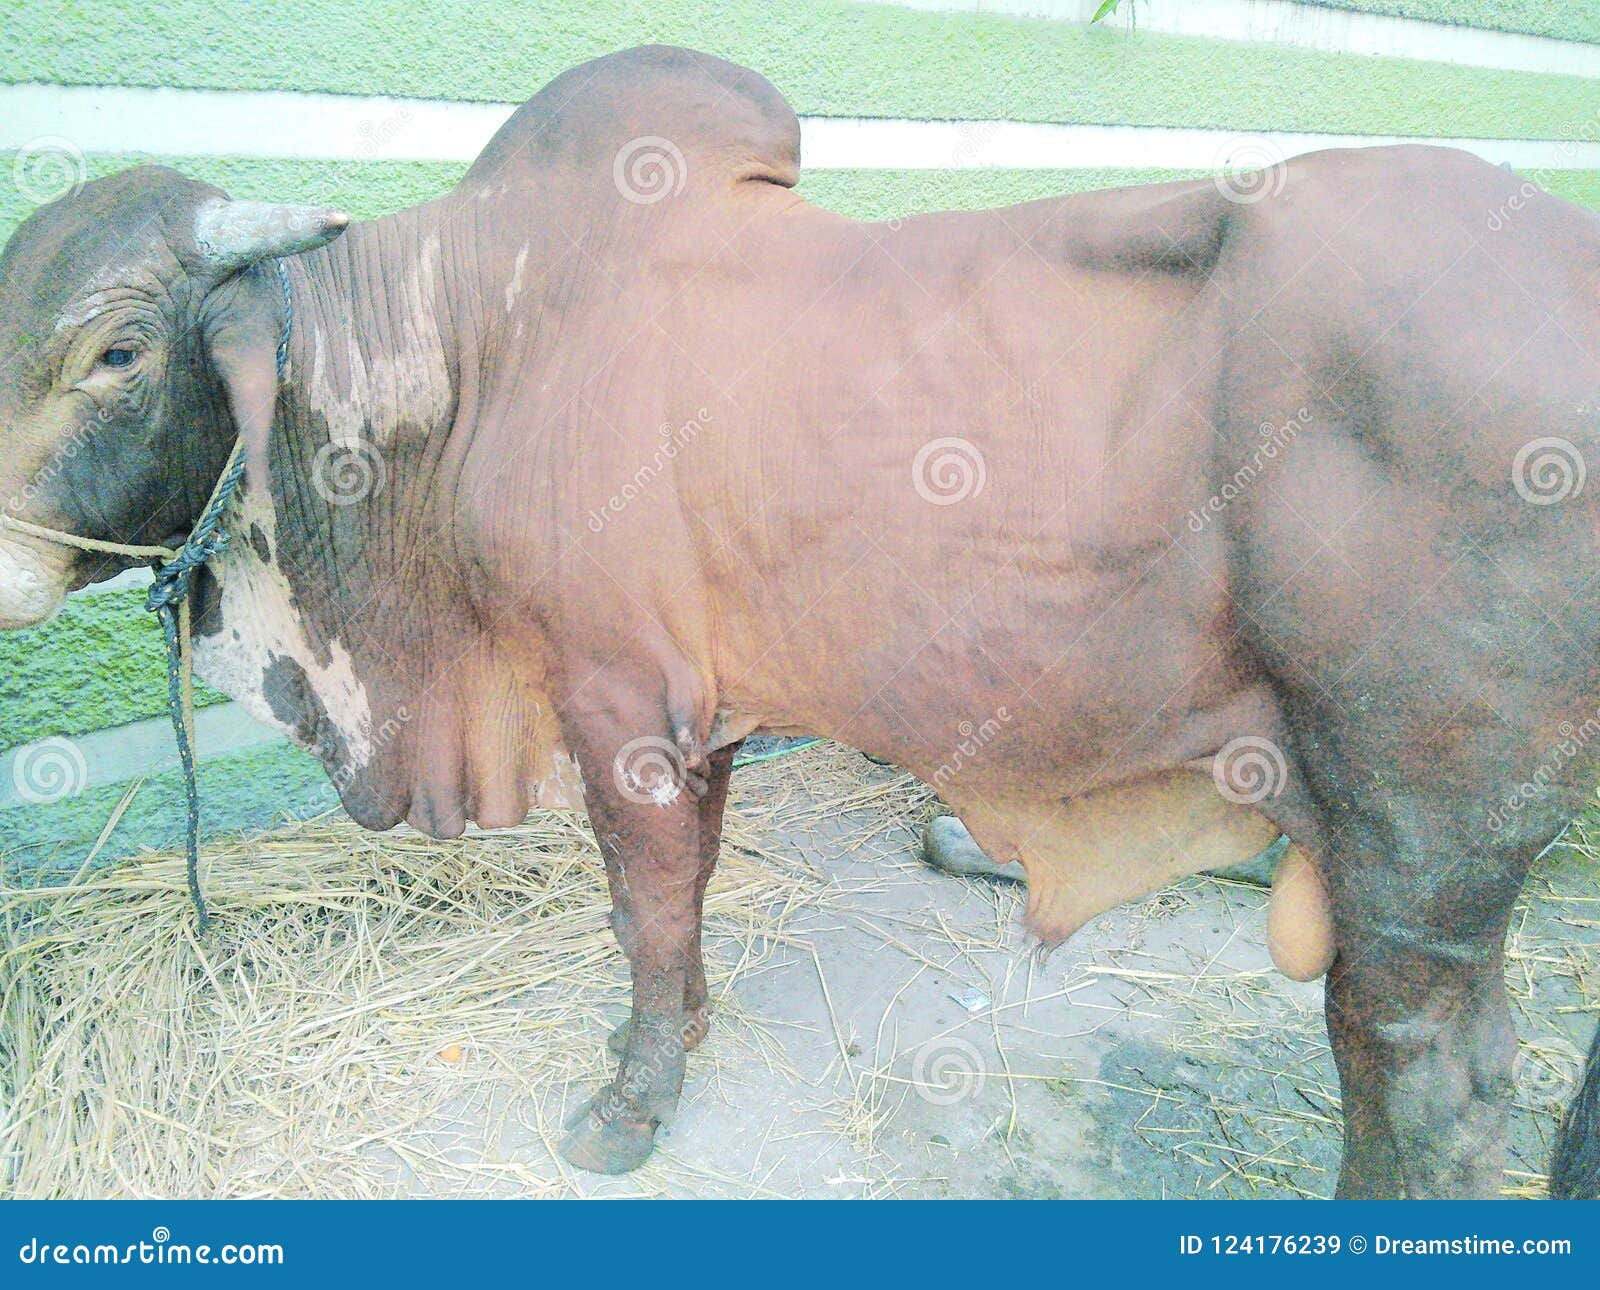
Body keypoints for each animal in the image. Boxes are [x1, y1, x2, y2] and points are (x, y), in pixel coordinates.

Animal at [0, 45, 1596, 1198]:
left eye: (118, 351)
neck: (470, 349)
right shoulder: (699, 711)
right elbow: (682, 894)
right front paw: (674, 1034)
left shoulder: (616, 703)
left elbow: (645, 905)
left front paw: (631, 1104)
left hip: (1417, 835)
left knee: (1424, 1080)